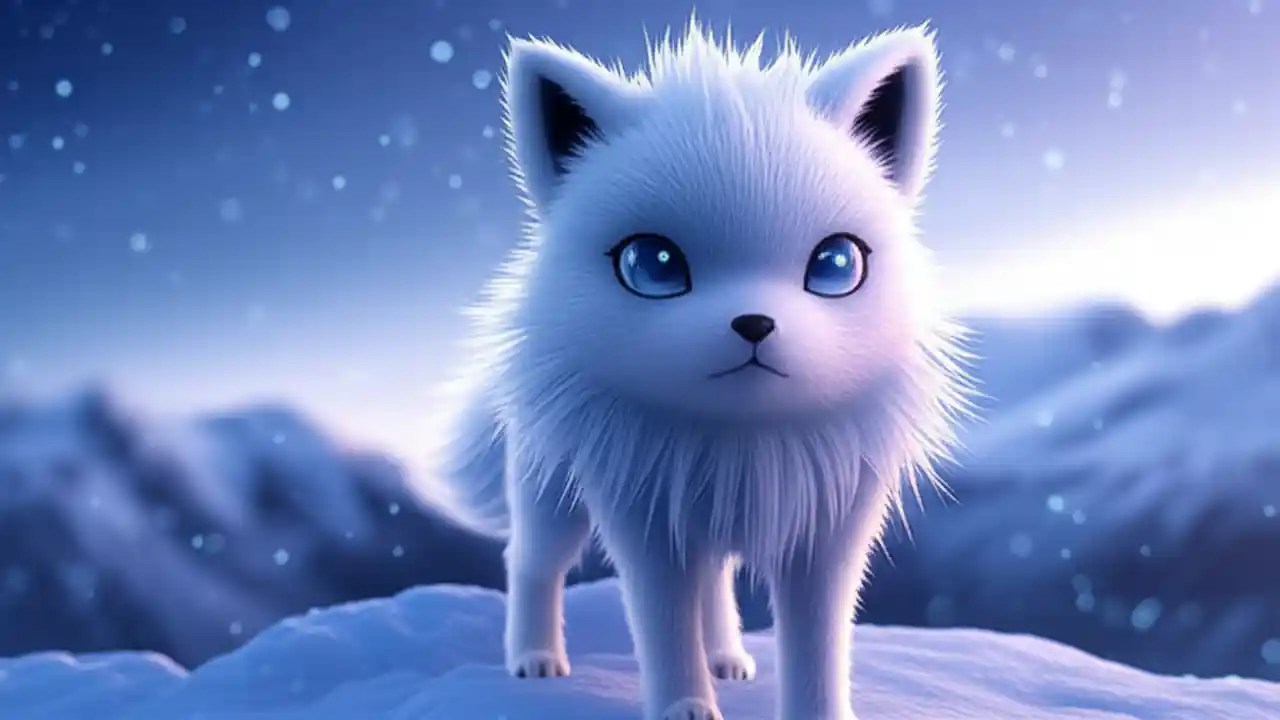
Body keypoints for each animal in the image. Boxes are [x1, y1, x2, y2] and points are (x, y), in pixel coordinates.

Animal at [421, 18, 972, 720]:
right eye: (653, 265)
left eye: (836, 264)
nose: (755, 324)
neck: (738, 444)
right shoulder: (647, 524)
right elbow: (663, 625)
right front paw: (684, 706)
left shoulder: (827, 532)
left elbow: (817, 638)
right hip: (551, 498)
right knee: (531, 560)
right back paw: (535, 659)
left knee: (715, 582)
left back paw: (728, 658)